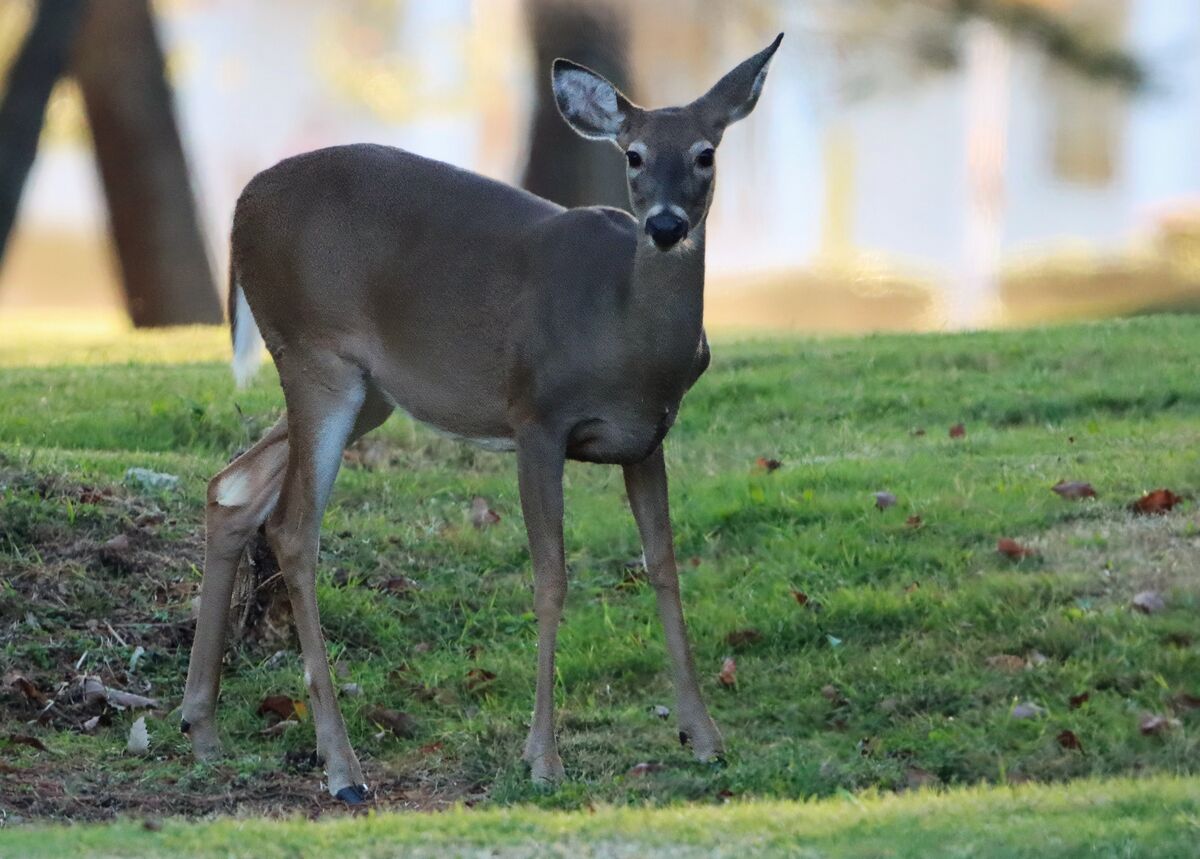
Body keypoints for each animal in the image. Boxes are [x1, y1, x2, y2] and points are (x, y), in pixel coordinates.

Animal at [180, 34, 783, 804]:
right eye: (634, 155)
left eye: (706, 153)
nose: (667, 225)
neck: (625, 333)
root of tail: (238, 205)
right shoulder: (536, 417)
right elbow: (552, 576)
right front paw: (543, 758)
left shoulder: (648, 438)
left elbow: (665, 567)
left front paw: (704, 737)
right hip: (315, 354)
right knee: (292, 527)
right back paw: (343, 767)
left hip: (371, 392)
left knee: (230, 489)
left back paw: (201, 728)